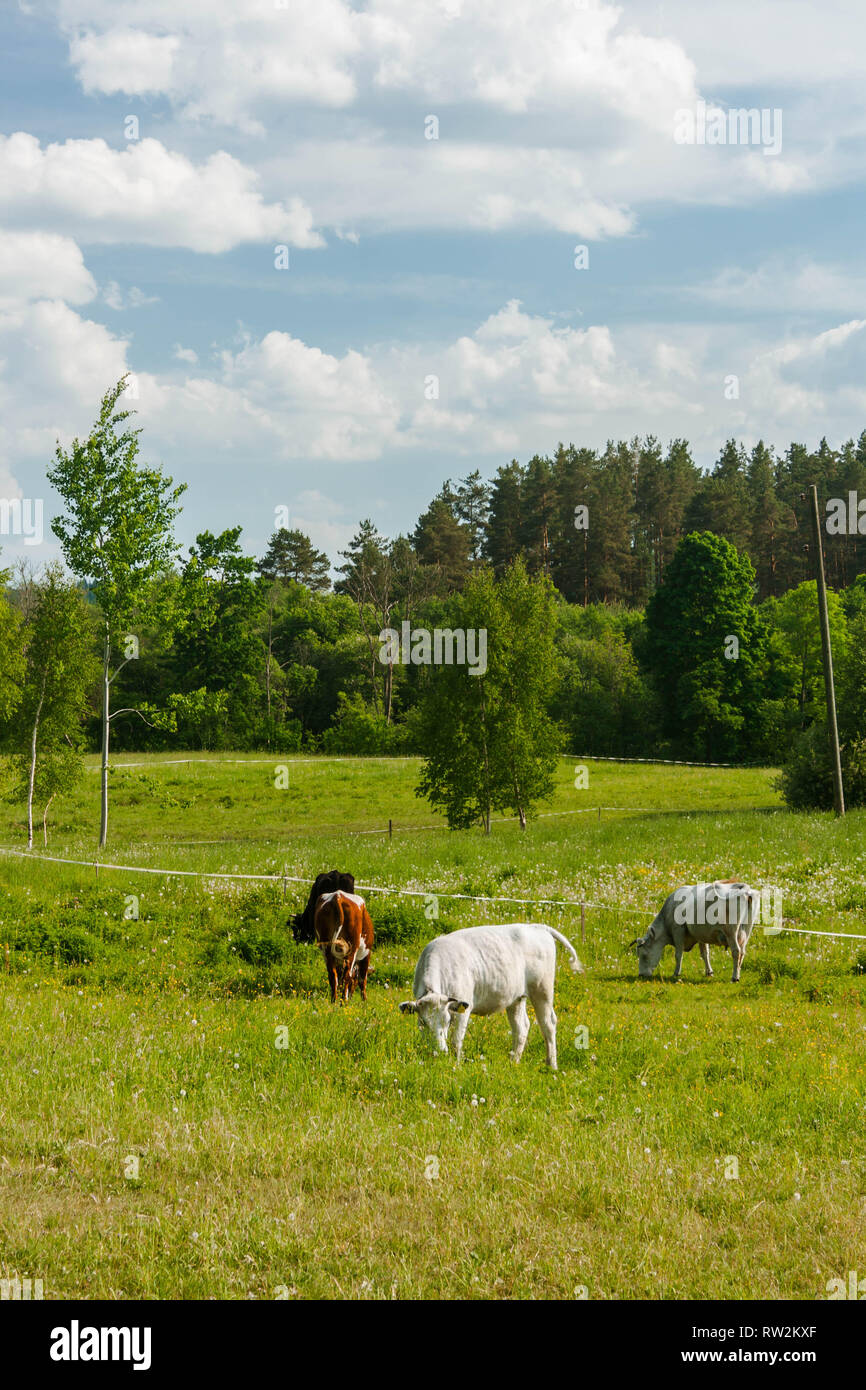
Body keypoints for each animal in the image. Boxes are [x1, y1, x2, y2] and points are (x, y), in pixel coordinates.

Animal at [399, 923, 583, 1069]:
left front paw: (455, 1065)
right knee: (521, 1027)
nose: (438, 1051)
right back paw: (513, 1062)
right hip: (517, 998)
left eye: (447, 1021)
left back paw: (551, 1065)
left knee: (548, 1024)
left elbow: (456, 1040)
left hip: (542, 991)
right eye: (423, 1022)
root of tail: (537, 927)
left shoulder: (463, 1010)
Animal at [629, 880, 761, 983]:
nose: (641, 975)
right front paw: (709, 972)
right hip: (746, 931)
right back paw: (738, 973)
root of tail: (743, 888)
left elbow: (678, 954)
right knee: (742, 952)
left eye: (644, 955)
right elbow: (705, 954)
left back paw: (734, 977)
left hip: (731, 932)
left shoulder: (678, 930)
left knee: (736, 951)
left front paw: (676, 973)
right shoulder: (701, 934)